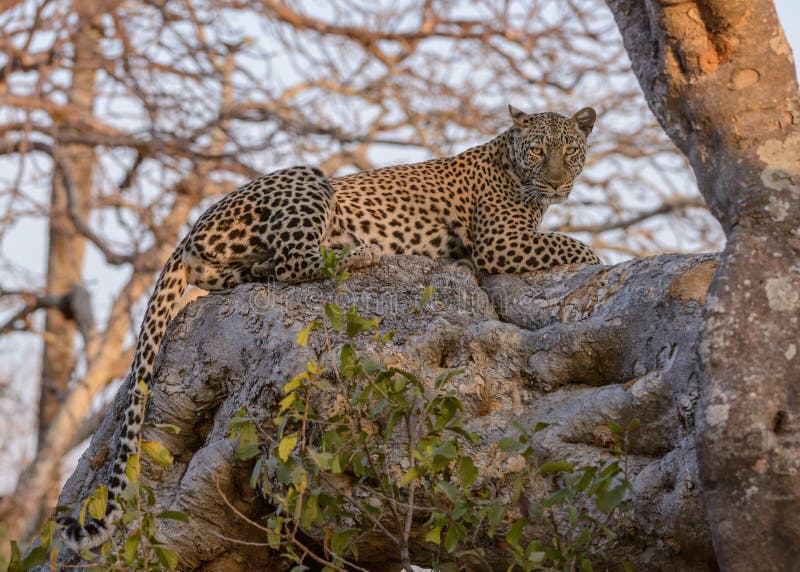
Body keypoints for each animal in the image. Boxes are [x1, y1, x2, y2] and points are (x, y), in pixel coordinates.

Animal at [58, 105, 600, 552]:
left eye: (570, 152)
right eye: (538, 151)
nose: (557, 184)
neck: (511, 163)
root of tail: (190, 233)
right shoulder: (502, 243)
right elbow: (577, 246)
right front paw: (594, 257)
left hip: (239, 261)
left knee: (269, 268)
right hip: (306, 180)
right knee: (295, 261)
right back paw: (360, 252)